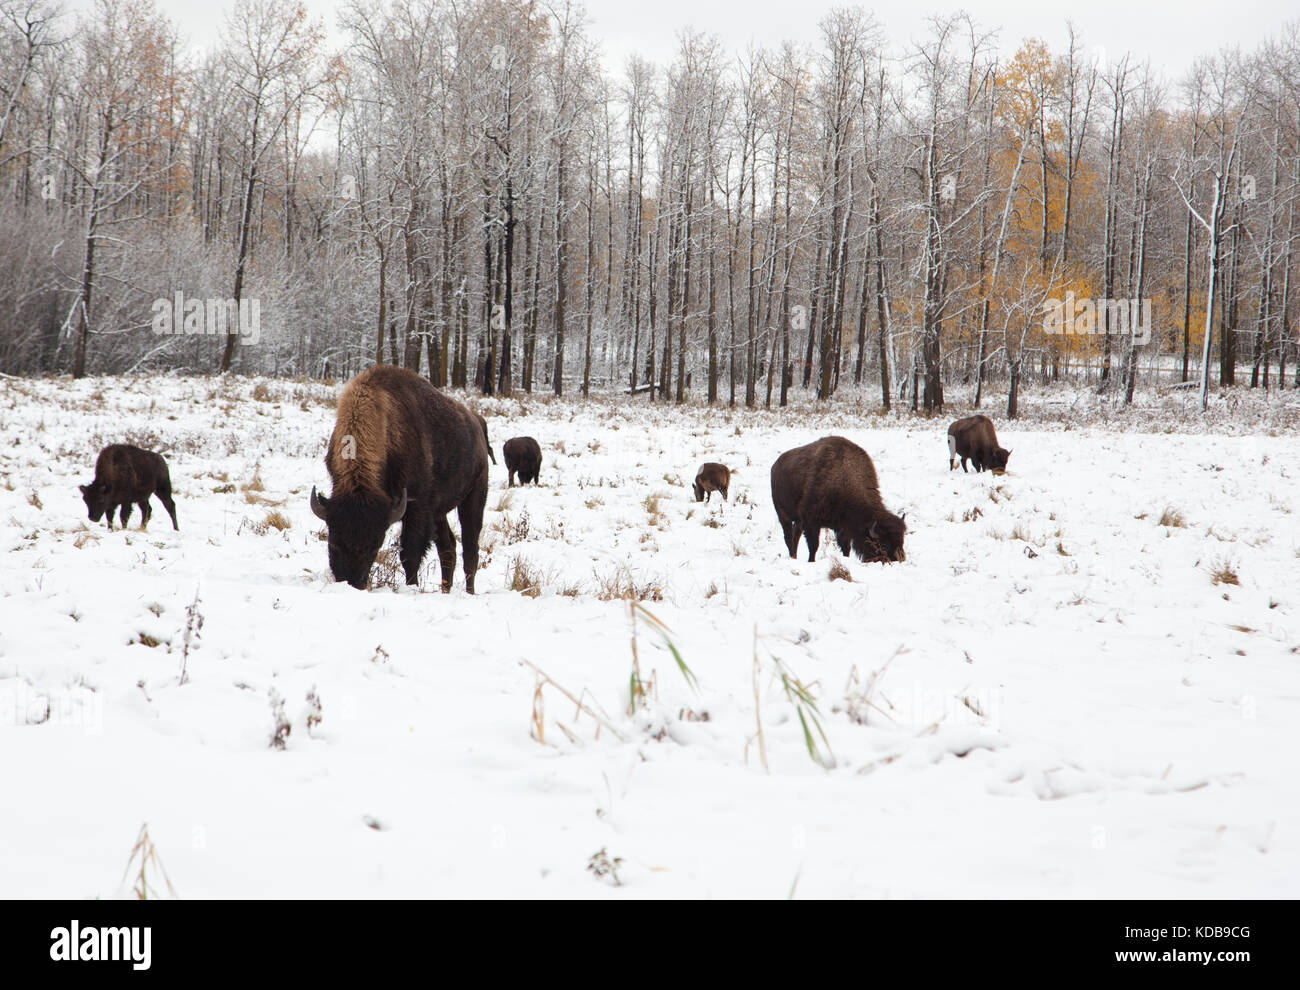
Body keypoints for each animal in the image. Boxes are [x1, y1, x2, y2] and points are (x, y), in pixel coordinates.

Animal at [310, 365, 489, 592]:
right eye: (333, 544)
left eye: (376, 545)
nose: (352, 582)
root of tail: (476, 423)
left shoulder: (417, 507)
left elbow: (409, 554)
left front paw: (412, 587)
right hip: (439, 513)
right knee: (448, 548)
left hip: (474, 497)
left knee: (470, 550)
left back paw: (469, 592)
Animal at [770, 436, 906, 564]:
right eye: (883, 544)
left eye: (902, 540)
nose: (899, 559)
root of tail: (775, 466)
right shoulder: (811, 522)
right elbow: (814, 546)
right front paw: (811, 561)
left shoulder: (842, 527)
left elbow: (846, 547)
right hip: (783, 515)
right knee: (788, 536)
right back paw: (792, 556)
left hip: (798, 521)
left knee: (796, 535)